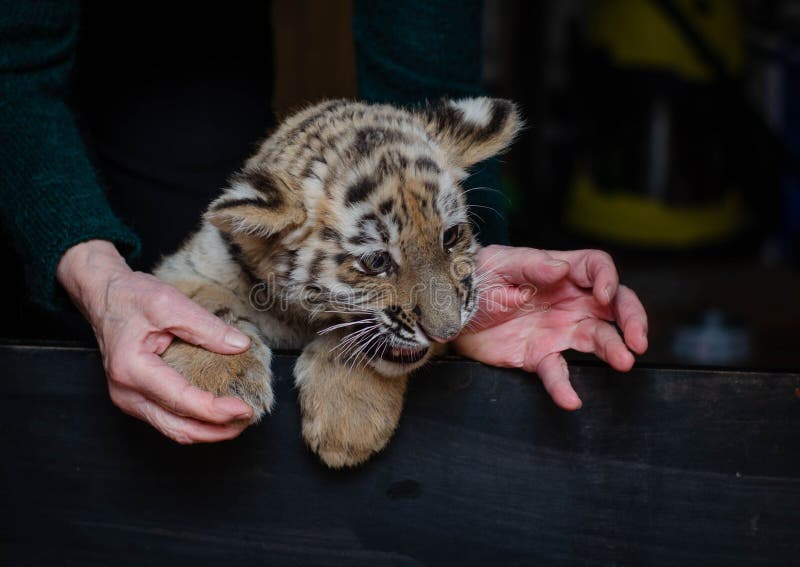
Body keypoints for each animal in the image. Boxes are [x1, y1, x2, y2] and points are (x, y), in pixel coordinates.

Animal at [154, 97, 522, 468]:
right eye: (376, 262)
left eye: (451, 236)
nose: (447, 332)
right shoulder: (188, 265)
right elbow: (202, 305)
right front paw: (218, 380)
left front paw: (348, 425)